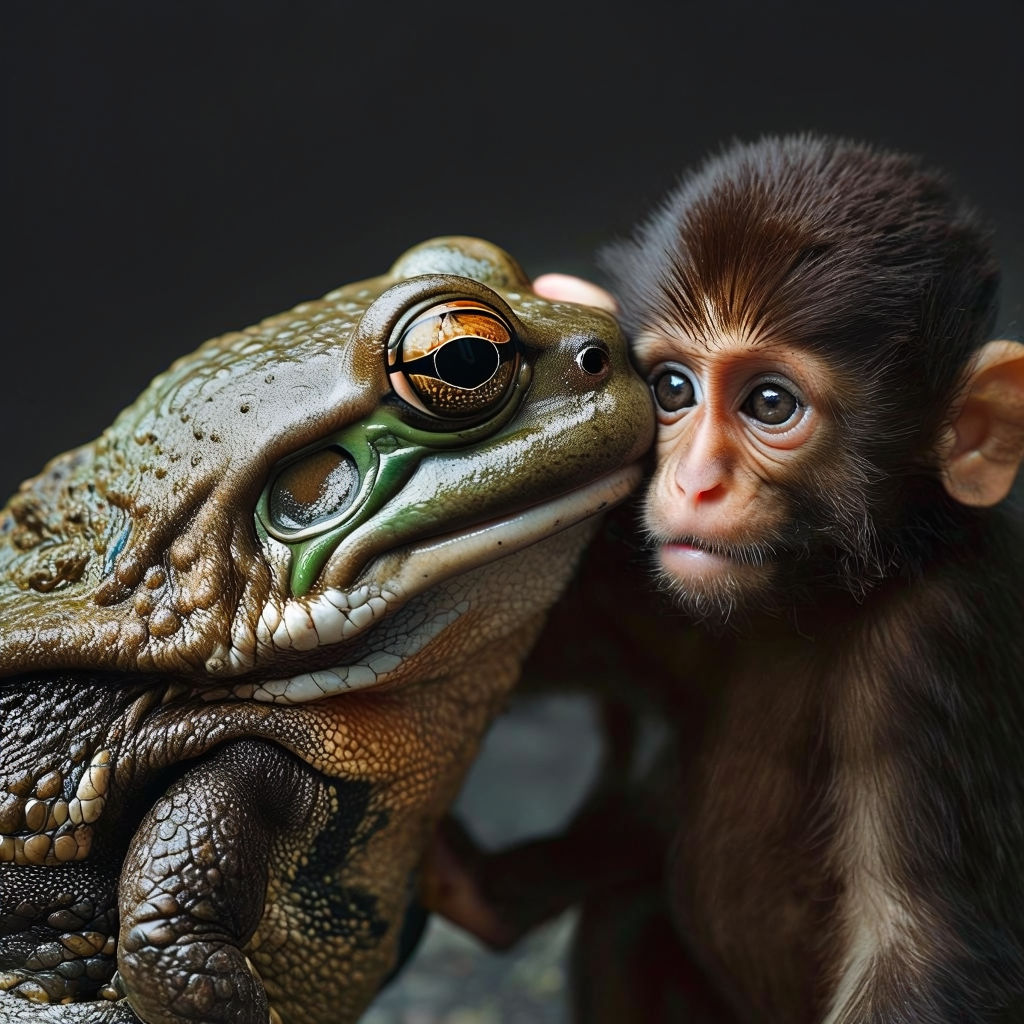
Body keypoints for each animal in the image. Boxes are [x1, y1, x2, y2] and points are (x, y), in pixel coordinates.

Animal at [423, 135, 1024, 1024]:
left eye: (770, 404)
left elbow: (917, 948)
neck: (807, 600)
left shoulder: (939, 643)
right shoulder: (640, 581)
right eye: (673, 389)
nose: (697, 481)